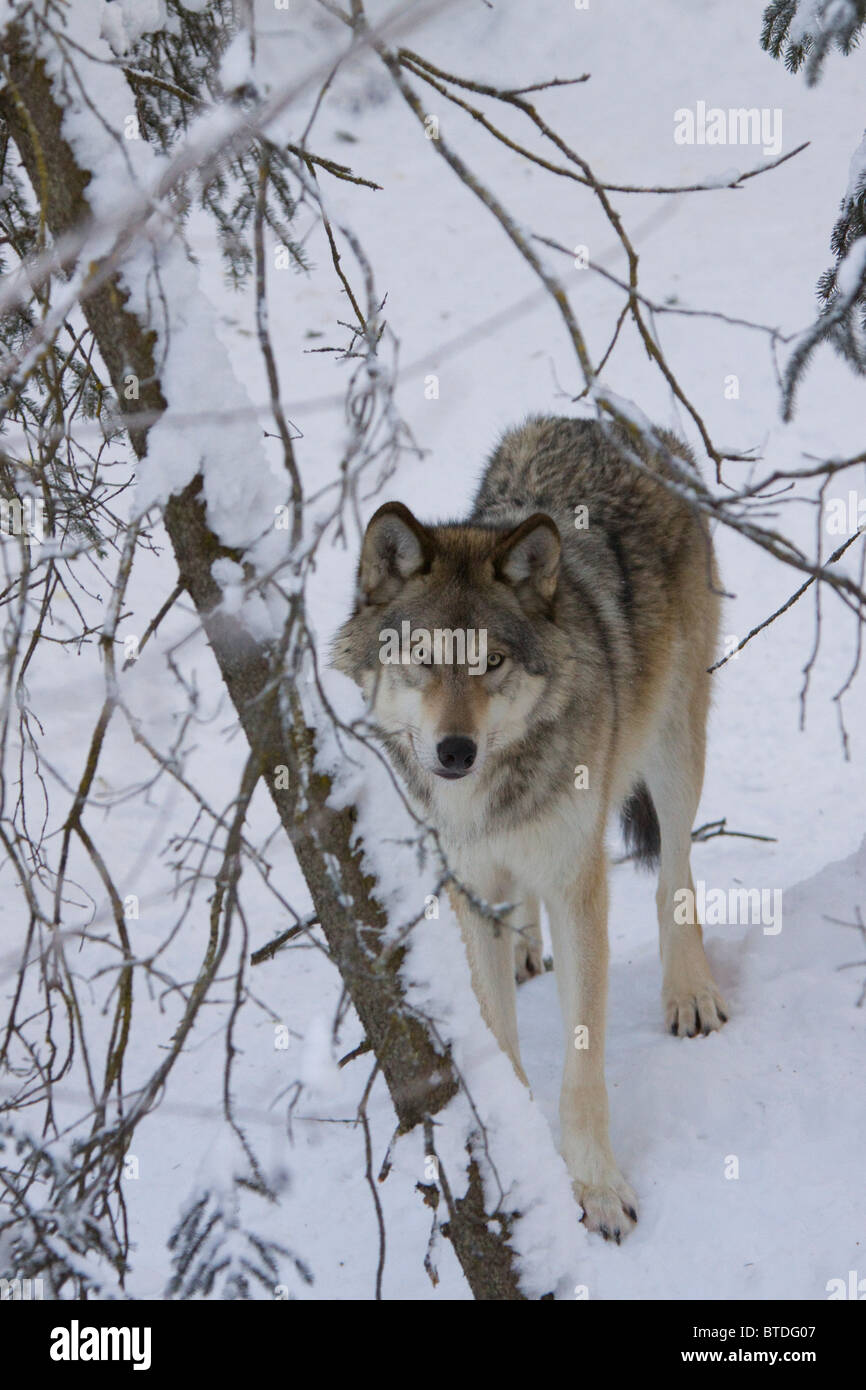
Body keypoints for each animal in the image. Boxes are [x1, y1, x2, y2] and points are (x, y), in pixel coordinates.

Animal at [333, 415, 727, 1241]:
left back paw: (690, 993)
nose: (454, 751)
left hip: (673, 748)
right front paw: (510, 1160)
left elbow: (582, 1066)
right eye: (423, 659)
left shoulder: (578, 881)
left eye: (492, 662)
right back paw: (524, 948)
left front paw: (598, 1190)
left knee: (674, 874)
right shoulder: (469, 879)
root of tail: (612, 423)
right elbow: (498, 1035)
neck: (496, 791)